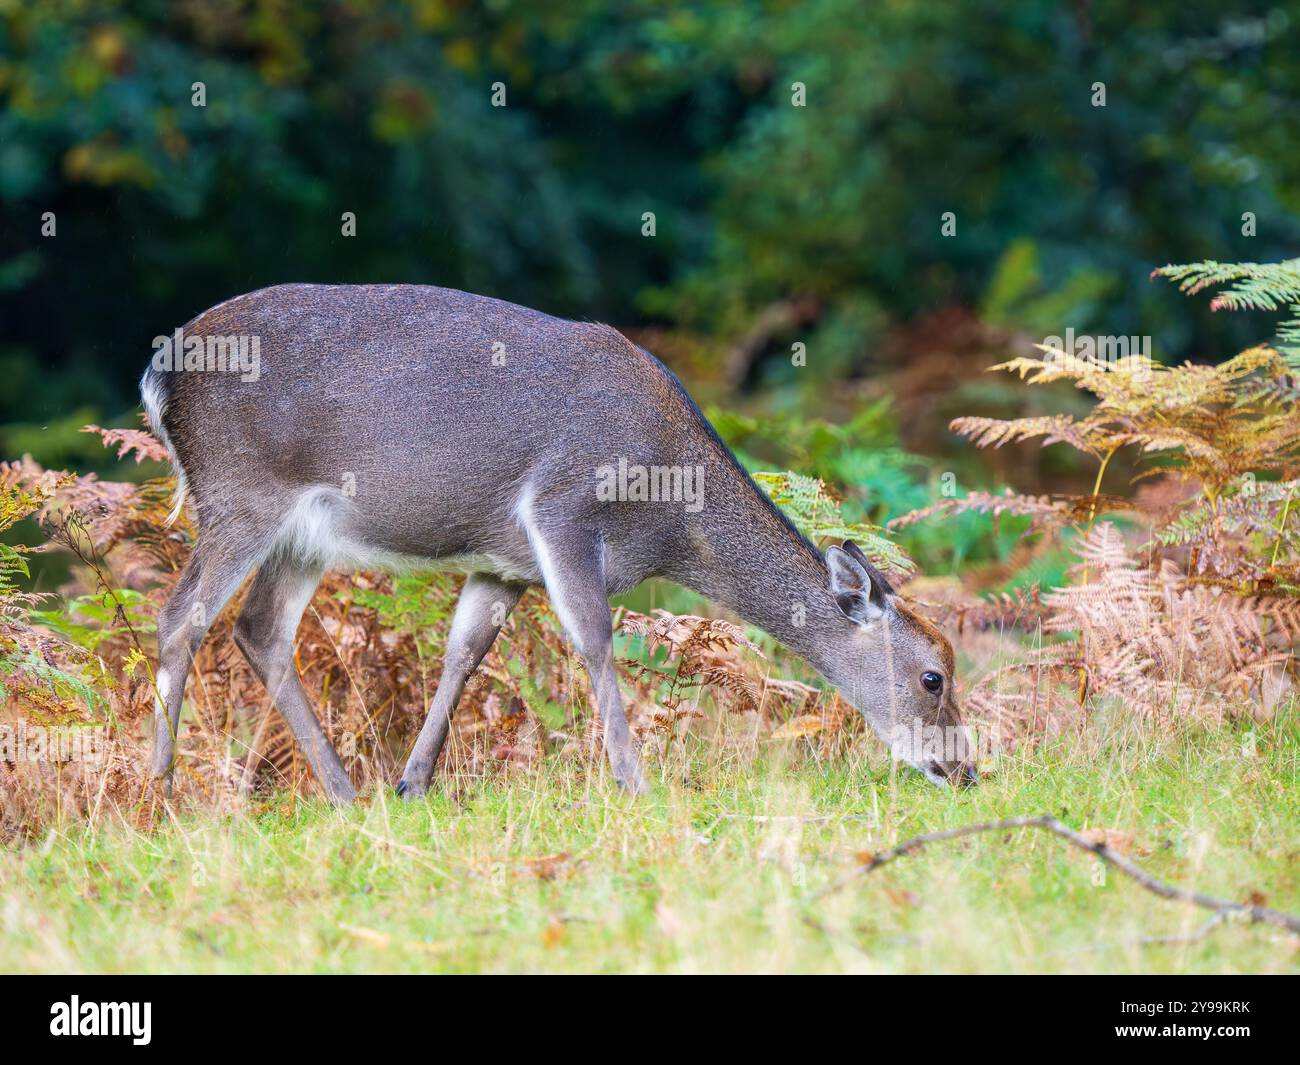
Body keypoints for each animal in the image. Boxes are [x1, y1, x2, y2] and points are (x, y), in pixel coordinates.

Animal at [140, 283, 977, 803]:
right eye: (933, 676)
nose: (966, 770)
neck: (667, 518)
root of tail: (159, 375)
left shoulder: (502, 559)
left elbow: (465, 650)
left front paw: (414, 782)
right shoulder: (562, 503)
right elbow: (595, 636)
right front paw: (635, 782)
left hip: (302, 534)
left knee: (259, 628)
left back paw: (345, 790)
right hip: (239, 492)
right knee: (180, 618)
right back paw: (161, 793)